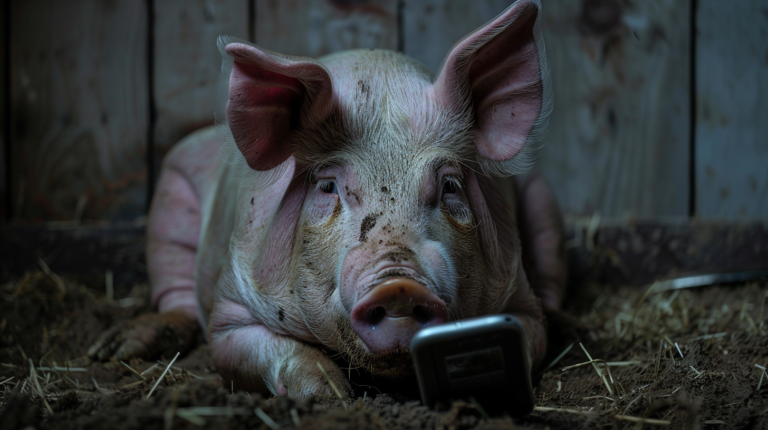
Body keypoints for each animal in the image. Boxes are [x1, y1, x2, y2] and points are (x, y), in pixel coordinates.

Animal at [89, 0, 566, 399]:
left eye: (449, 184)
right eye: (328, 187)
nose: (398, 283)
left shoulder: (515, 294)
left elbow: (533, 332)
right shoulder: (232, 302)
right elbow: (244, 346)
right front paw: (330, 395)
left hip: (542, 199)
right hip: (172, 190)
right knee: (177, 294)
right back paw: (111, 350)